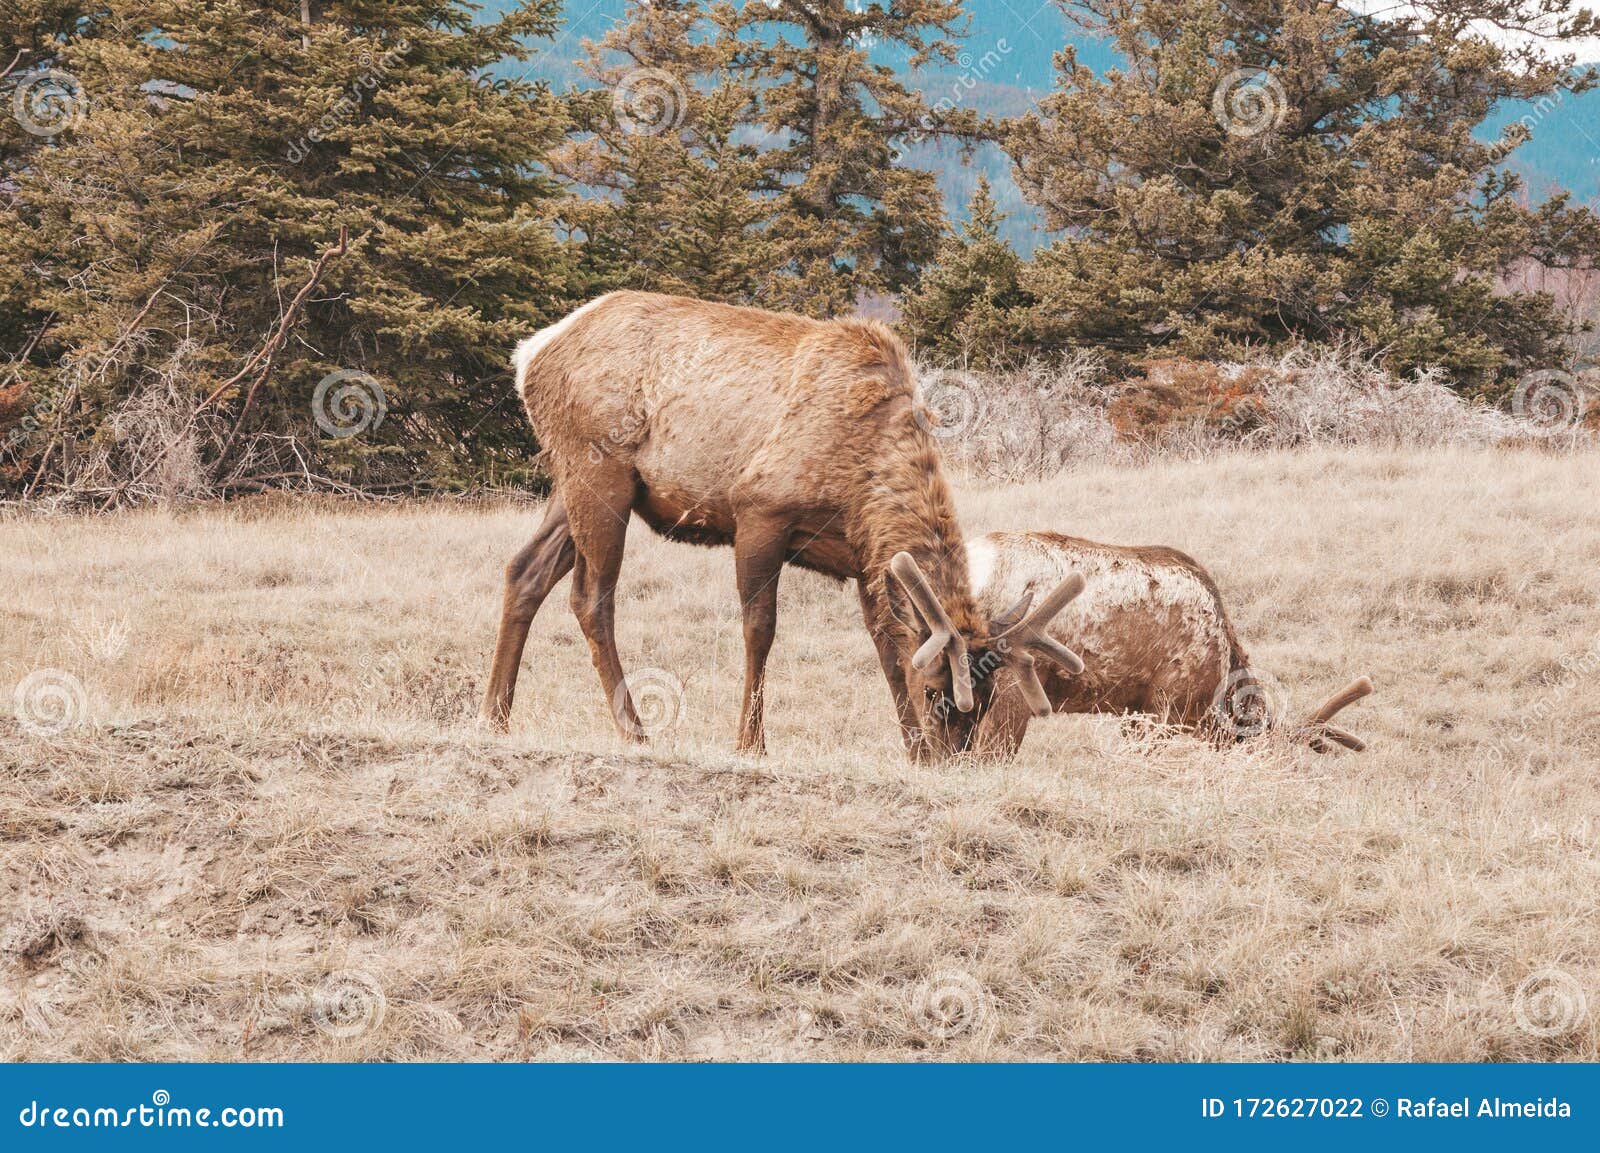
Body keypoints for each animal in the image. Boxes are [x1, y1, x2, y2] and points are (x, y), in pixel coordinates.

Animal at [478, 291, 1089, 759]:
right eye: (938, 688)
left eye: (984, 703)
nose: (951, 758)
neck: (861, 481)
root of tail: (531, 352)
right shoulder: (759, 510)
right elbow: (761, 628)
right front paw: (751, 743)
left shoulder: (866, 559)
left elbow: (886, 646)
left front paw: (910, 750)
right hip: (599, 469)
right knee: (591, 596)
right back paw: (634, 729)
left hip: (570, 480)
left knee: (524, 569)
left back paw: (494, 716)